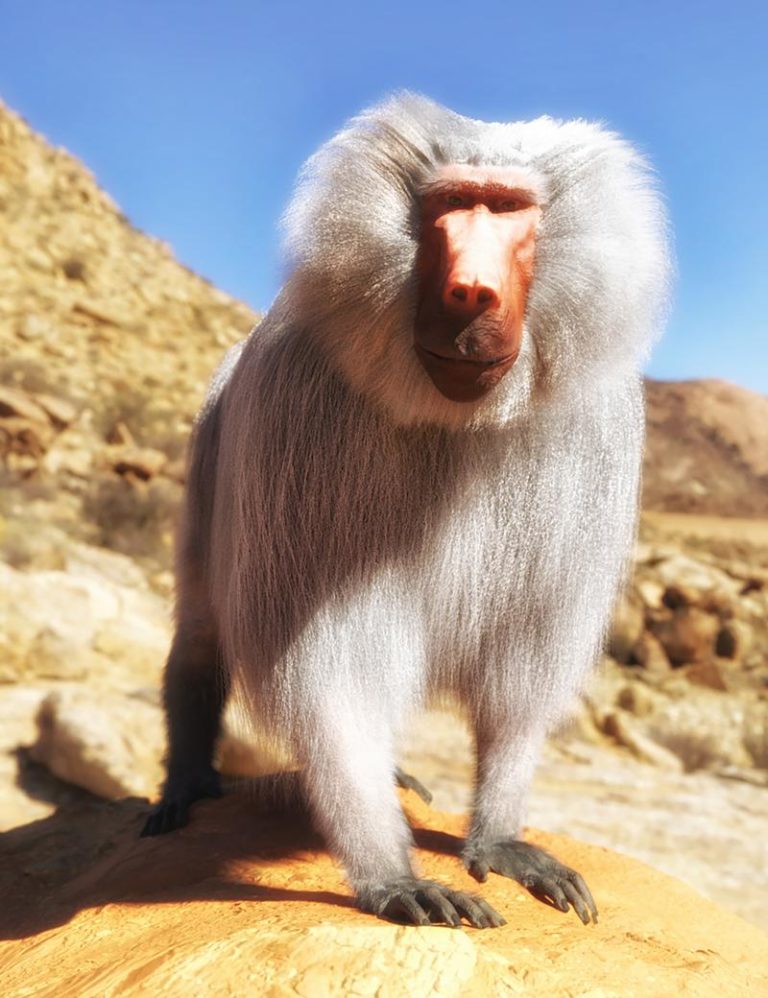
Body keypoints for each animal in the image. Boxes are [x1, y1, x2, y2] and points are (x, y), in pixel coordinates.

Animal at [142, 93, 669, 930]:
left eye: (508, 208)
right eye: (451, 206)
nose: (472, 293)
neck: (457, 419)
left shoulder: (597, 426)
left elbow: (523, 659)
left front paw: (497, 841)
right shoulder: (303, 411)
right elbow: (328, 672)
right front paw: (392, 876)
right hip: (211, 443)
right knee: (200, 632)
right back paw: (187, 778)